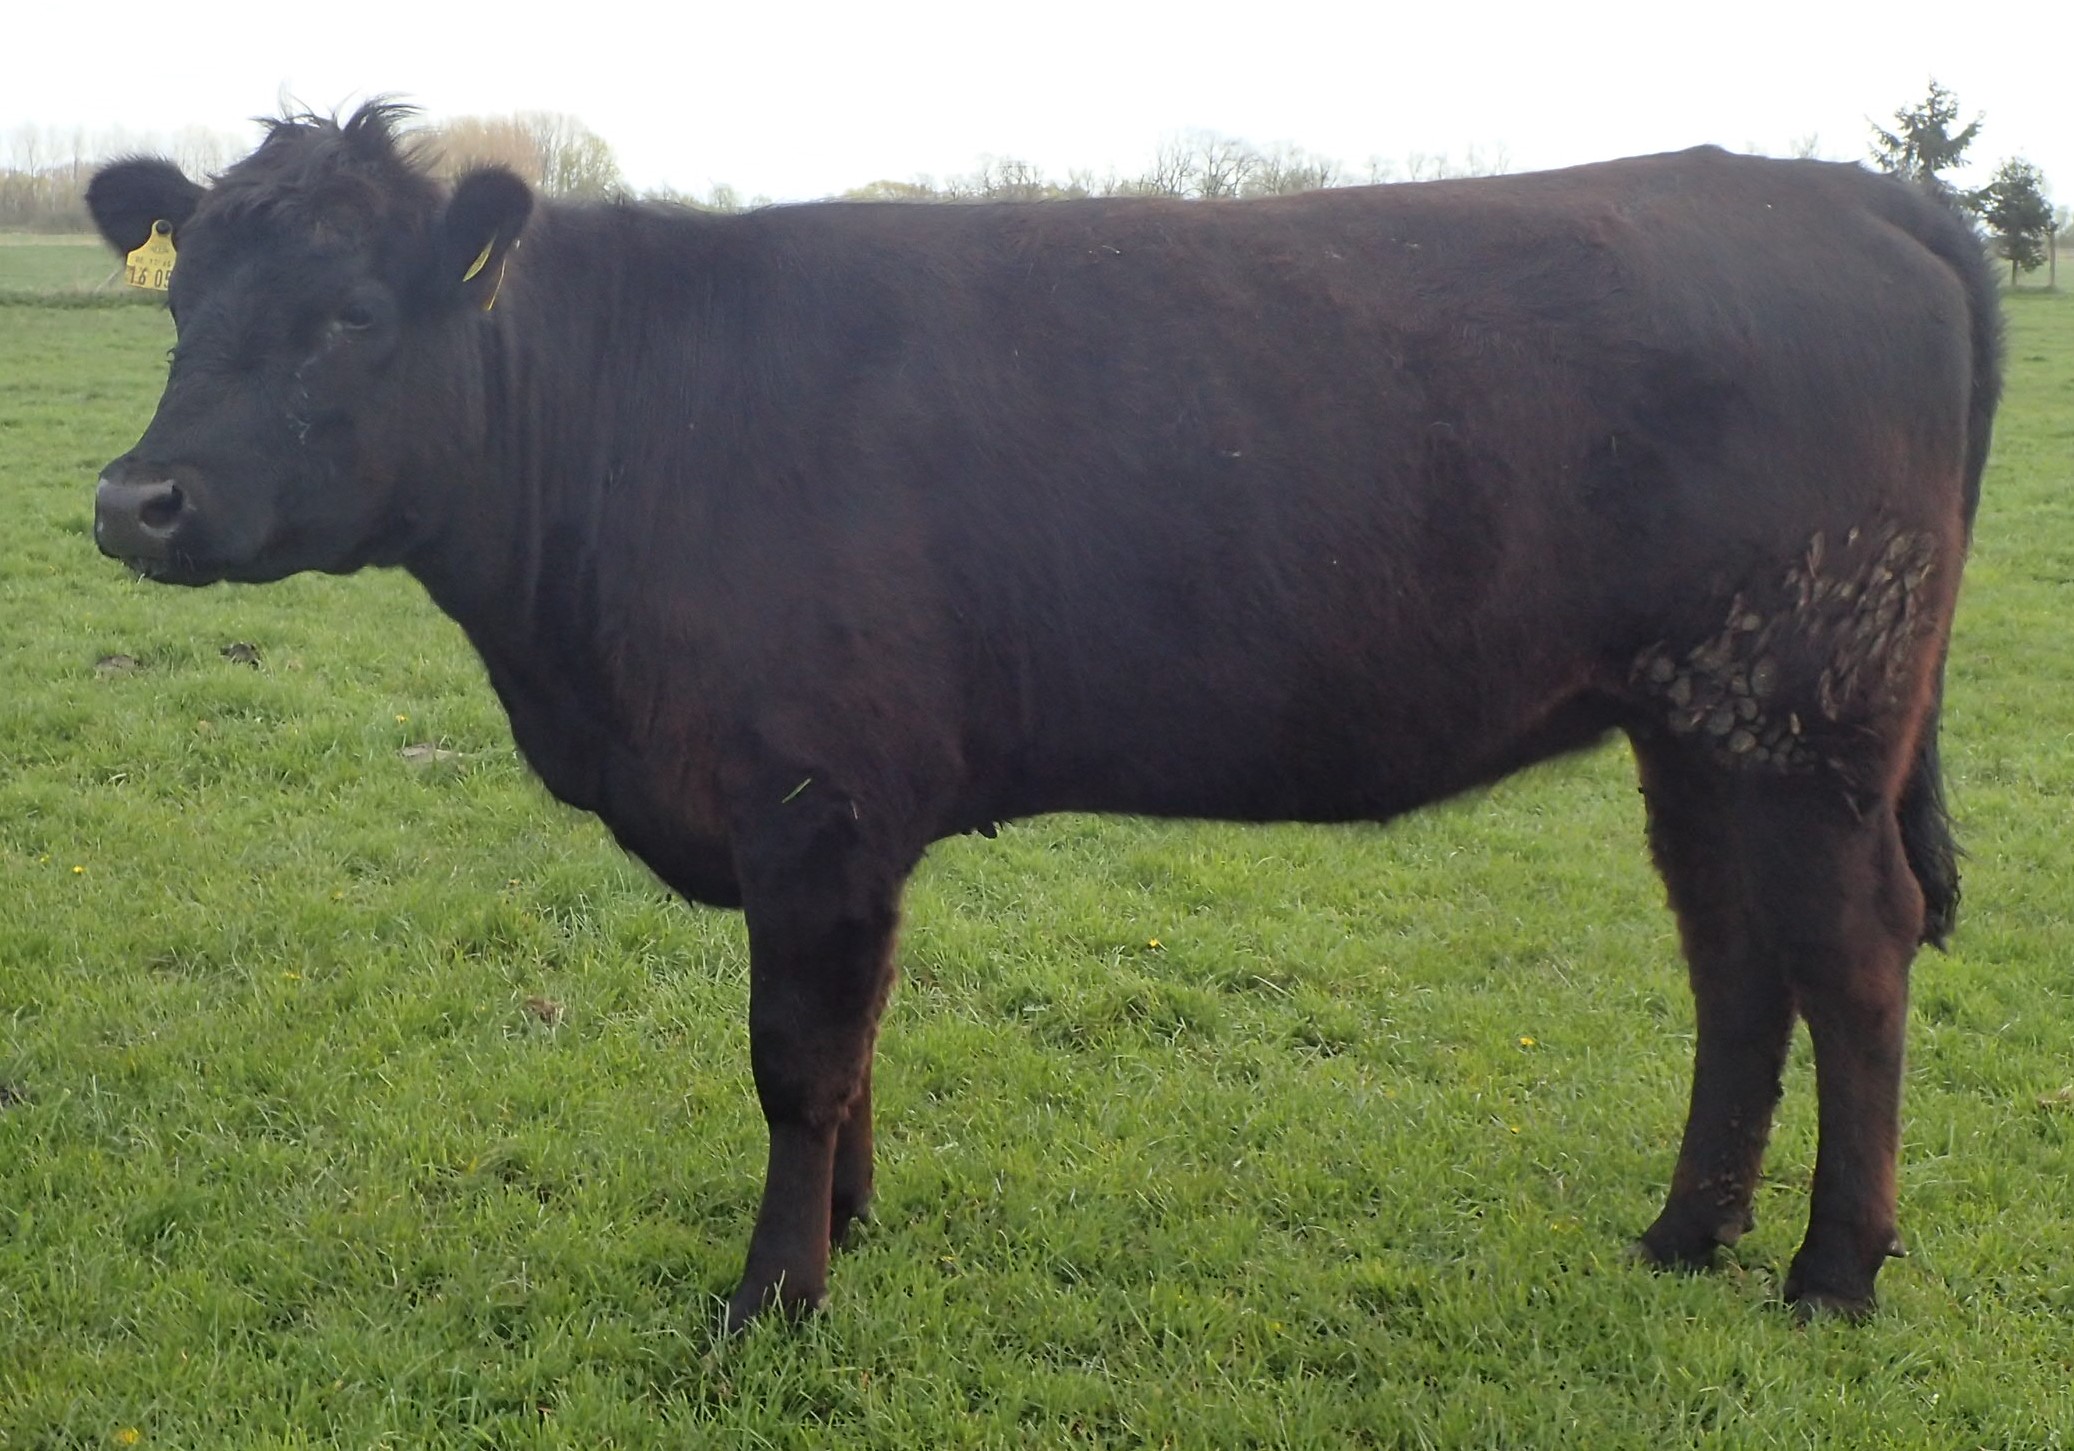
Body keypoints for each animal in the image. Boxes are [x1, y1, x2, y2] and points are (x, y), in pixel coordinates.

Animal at [86, 104, 2000, 1329]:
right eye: (183, 300)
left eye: (347, 314)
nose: (135, 500)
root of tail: (1836, 191)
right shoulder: (848, 824)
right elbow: (854, 1045)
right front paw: (850, 1227)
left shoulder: (814, 801)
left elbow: (794, 1056)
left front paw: (774, 1297)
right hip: (1697, 725)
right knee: (1735, 964)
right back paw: (1681, 1235)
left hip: (1807, 707)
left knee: (1851, 958)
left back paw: (1829, 1275)